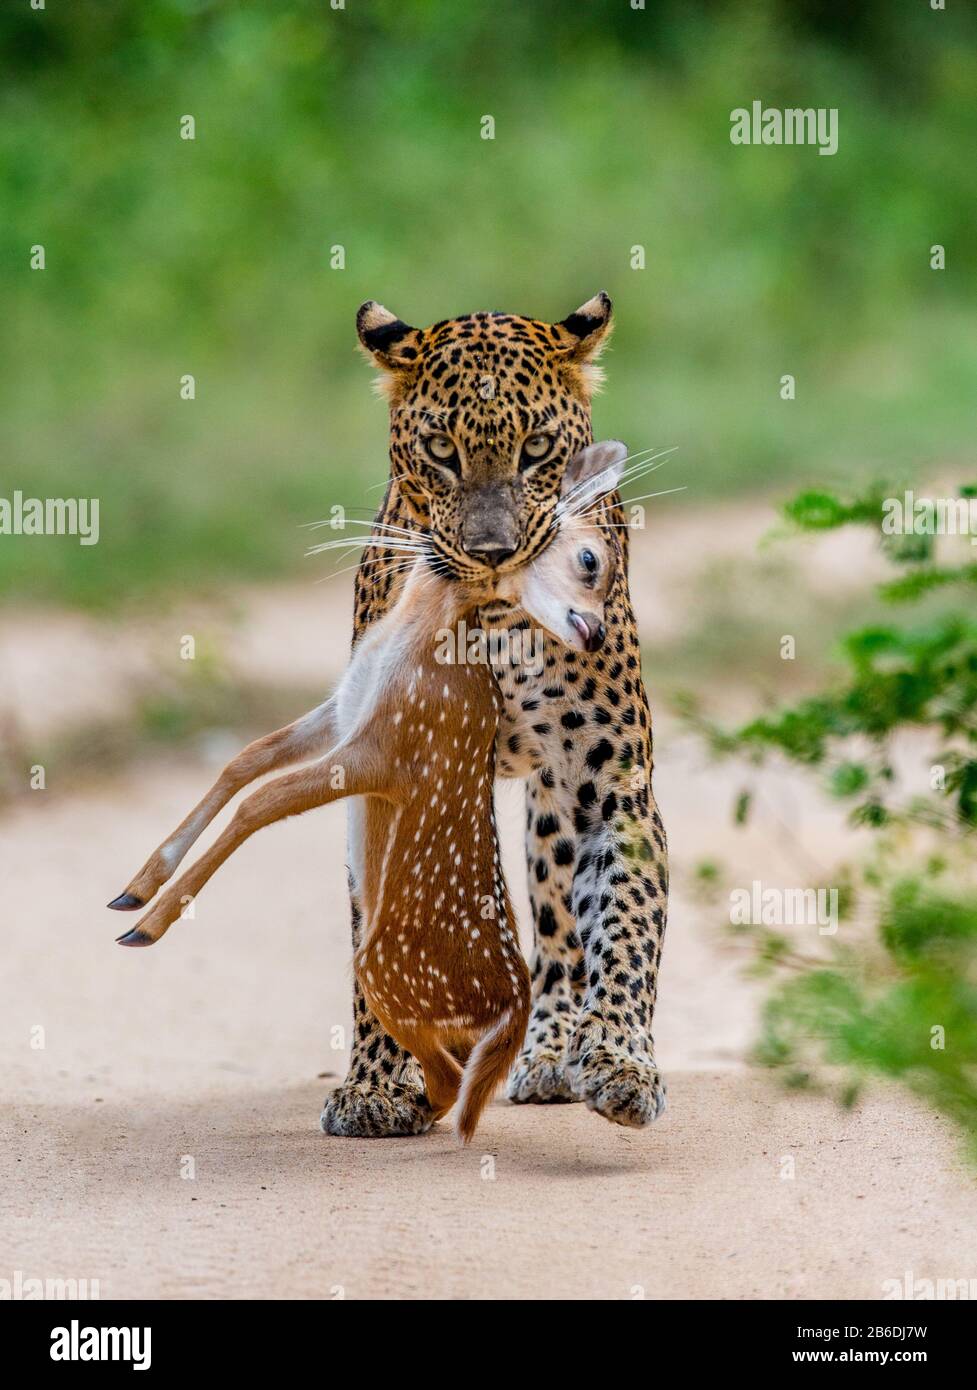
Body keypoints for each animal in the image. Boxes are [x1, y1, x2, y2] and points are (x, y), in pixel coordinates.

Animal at [320, 291, 668, 1137]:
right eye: (440, 450)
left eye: (535, 448)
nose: (491, 553)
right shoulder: (389, 780)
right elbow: (376, 939)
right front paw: (374, 1086)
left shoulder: (610, 789)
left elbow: (626, 925)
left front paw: (618, 1061)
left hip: (553, 806)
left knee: (558, 927)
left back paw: (547, 1053)